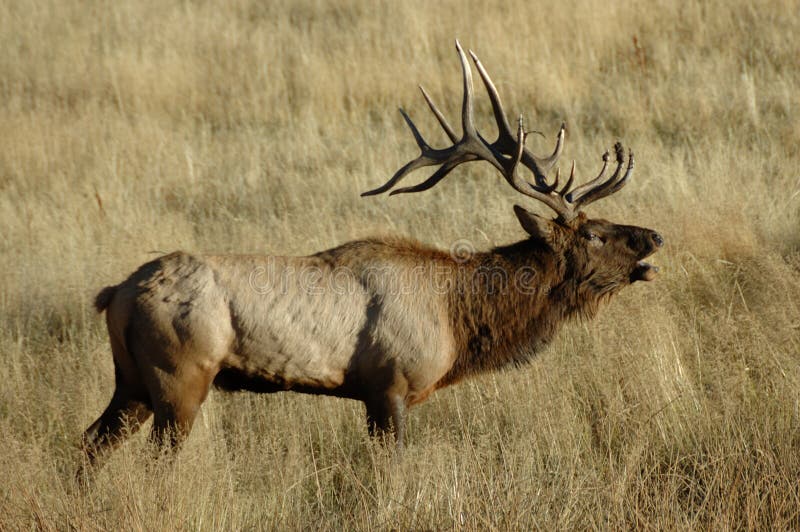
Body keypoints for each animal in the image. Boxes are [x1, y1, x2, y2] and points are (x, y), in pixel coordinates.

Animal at [79, 41, 662, 477]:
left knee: (89, 443)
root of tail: (116, 294)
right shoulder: (390, 384)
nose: (654, 236)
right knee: (154, 460)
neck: (458, 317)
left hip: (131, 379)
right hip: (179, 374)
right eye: (595, 235)